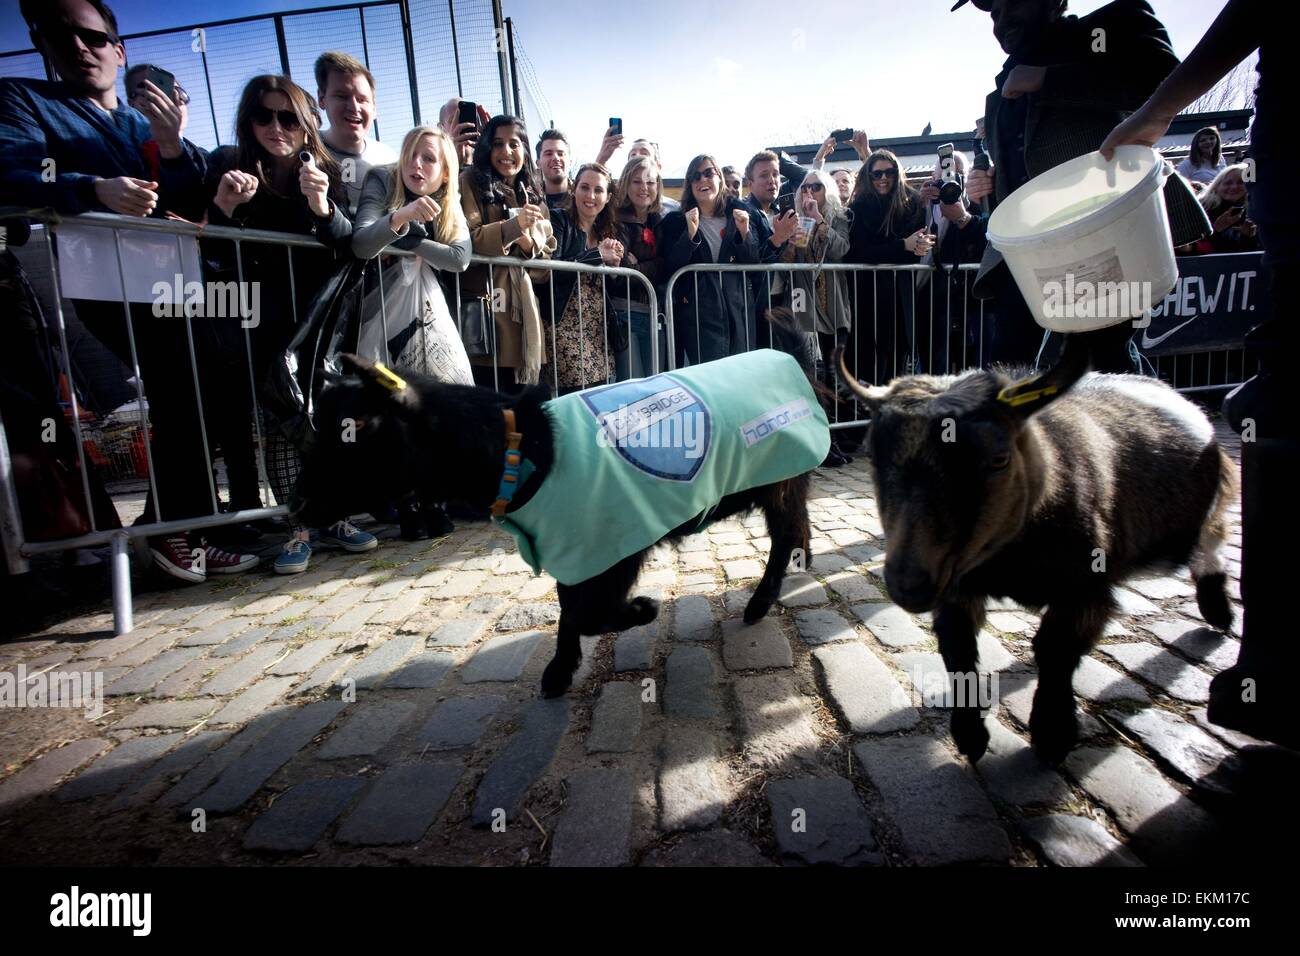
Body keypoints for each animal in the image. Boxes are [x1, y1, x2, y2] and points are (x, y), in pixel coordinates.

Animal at [292, 347, 829, 698]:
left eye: (355, 429)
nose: (300, 507)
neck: (524, 449)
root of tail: (792, 359)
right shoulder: (575, 546)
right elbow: (569, 611)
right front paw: (557, 673)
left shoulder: (616, 544)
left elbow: (585, 612)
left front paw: (642, 610)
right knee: (799, 531)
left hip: (781, 476)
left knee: (785, 536)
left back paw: (758, 604)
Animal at [837, 344, 1236, 763]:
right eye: (872, 456)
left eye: (999, 458)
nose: (908, 584)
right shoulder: (956, 585)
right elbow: (958, 649)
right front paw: (970, 736)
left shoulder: (1084, 589)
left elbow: (1055, 650)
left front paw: (1052, 734)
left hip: (1210, 509)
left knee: (1210, 546)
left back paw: (1219, 612)